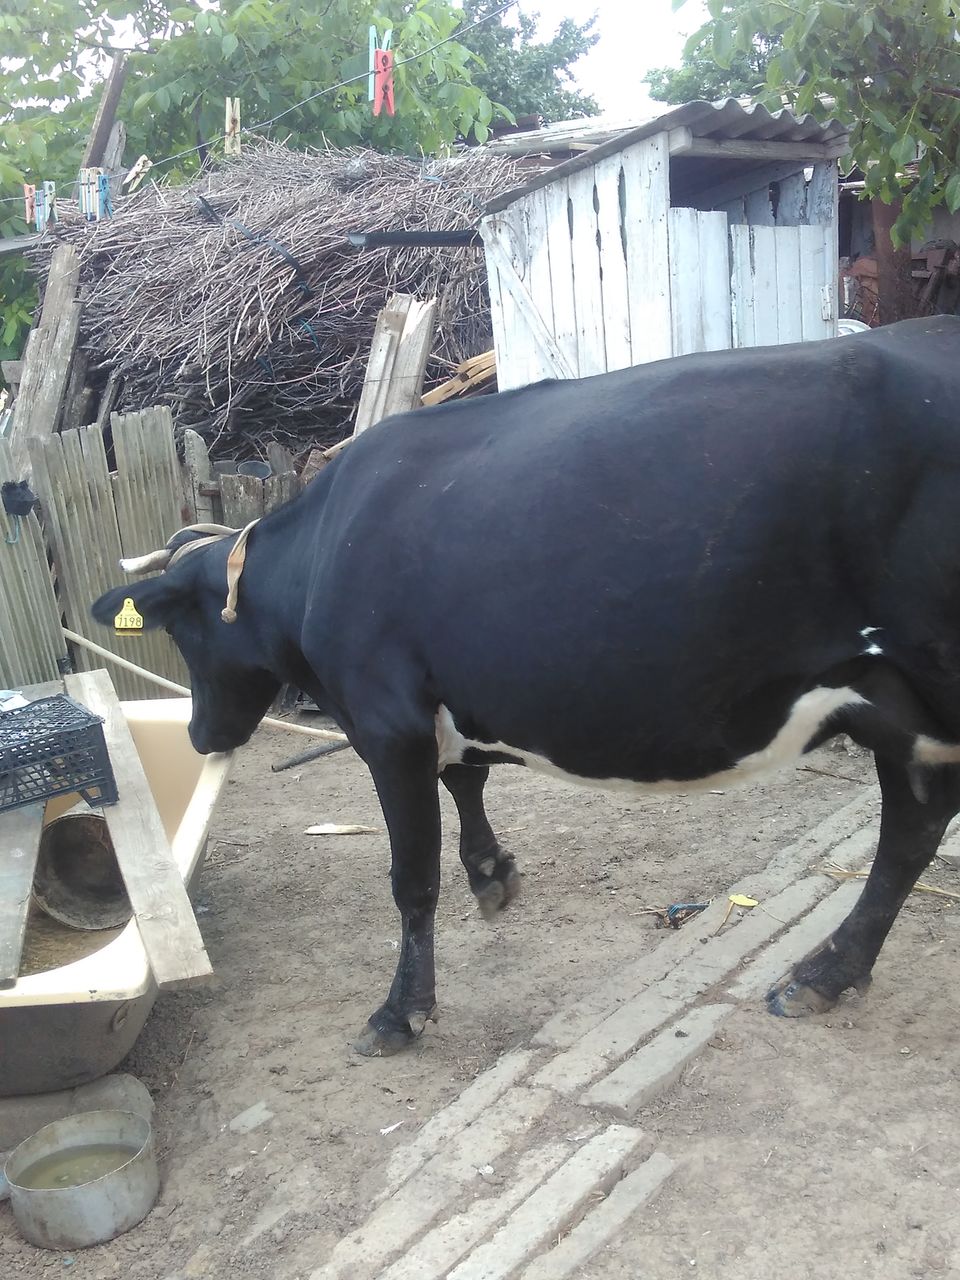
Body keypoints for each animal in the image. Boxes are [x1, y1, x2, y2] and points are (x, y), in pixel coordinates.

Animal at [92, 316, 960, 1056]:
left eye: (182, 633)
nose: (200, 734)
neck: (318, 555)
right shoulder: (439, 701)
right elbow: (466, 778)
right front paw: (492, 873)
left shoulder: (384, 722)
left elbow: (412, 877)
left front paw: (400, 1012)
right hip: (901, 705)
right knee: (910, 835)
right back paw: (827, 973)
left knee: (908, 833)